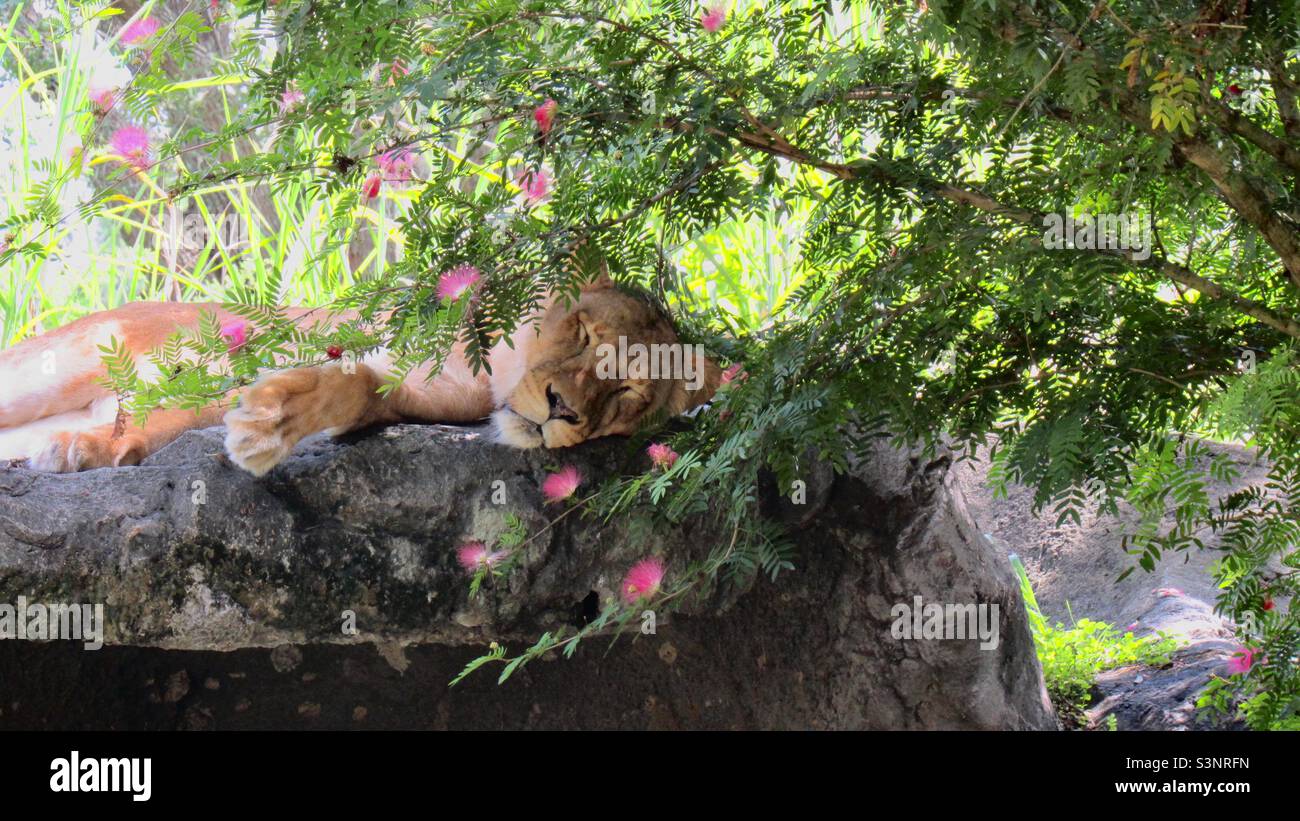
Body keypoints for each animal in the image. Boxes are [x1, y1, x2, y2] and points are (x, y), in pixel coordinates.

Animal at [0, 273, 720, 475]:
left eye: (626, 393)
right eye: (583, 335)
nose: (561, 408)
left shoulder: (408, 395)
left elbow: (352, 387)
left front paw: (270, 420)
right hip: (59, 361)